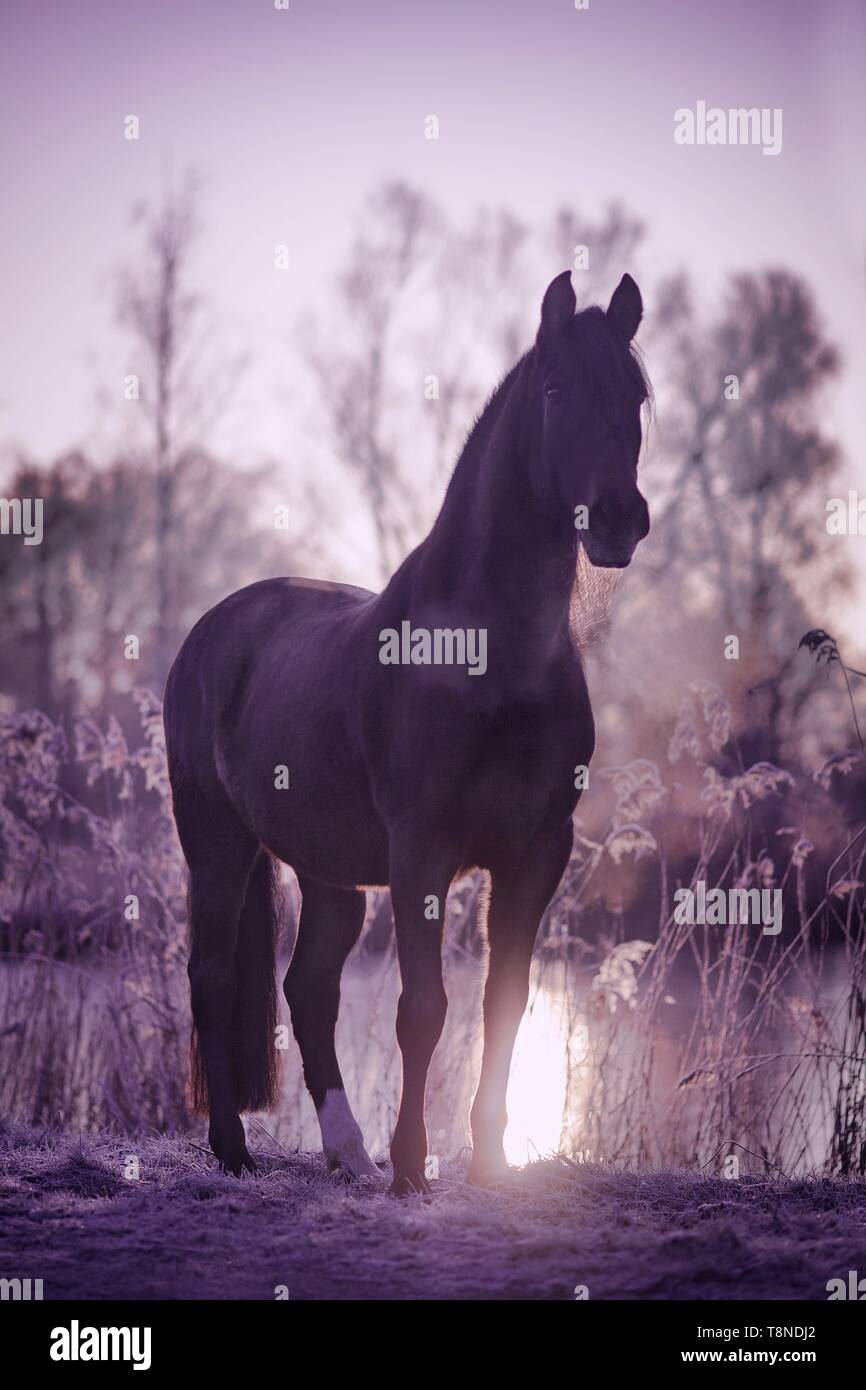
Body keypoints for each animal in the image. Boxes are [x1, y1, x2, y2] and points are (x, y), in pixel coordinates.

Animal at [163, 269, 651, 1195]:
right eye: (555, 389)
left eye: (638, 395)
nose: (616, 518)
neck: (490, 655)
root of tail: (213, 627)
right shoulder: (422, 849)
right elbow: (423, 1009)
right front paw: (412, 1169)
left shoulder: (538, 851)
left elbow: (506, 1004)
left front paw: (489, 1163)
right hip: (218, 845)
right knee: (212, 976)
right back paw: (235, 1151)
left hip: (328, 875)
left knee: (309, 990)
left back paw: (345, 1150)